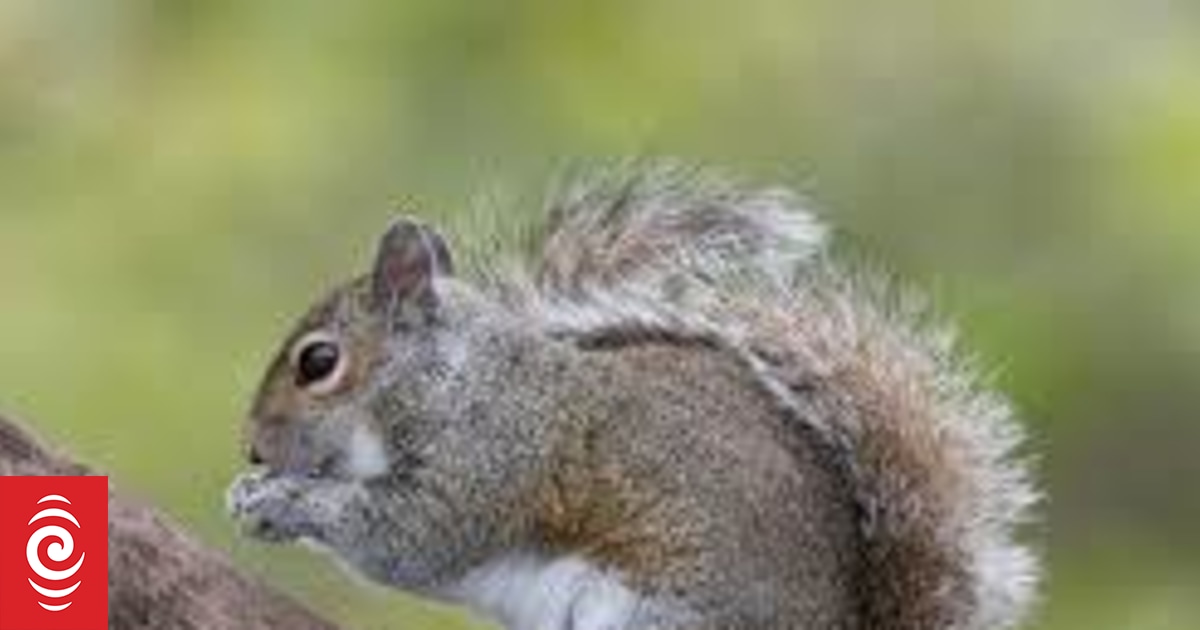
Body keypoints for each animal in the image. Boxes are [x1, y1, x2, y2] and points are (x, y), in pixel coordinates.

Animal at [227, 163, 1039, 630]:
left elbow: (407, 536)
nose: (255, 449)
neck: (450, 380)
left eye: (319, 362)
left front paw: (283, 501)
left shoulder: (496, 455)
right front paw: (249, 492)